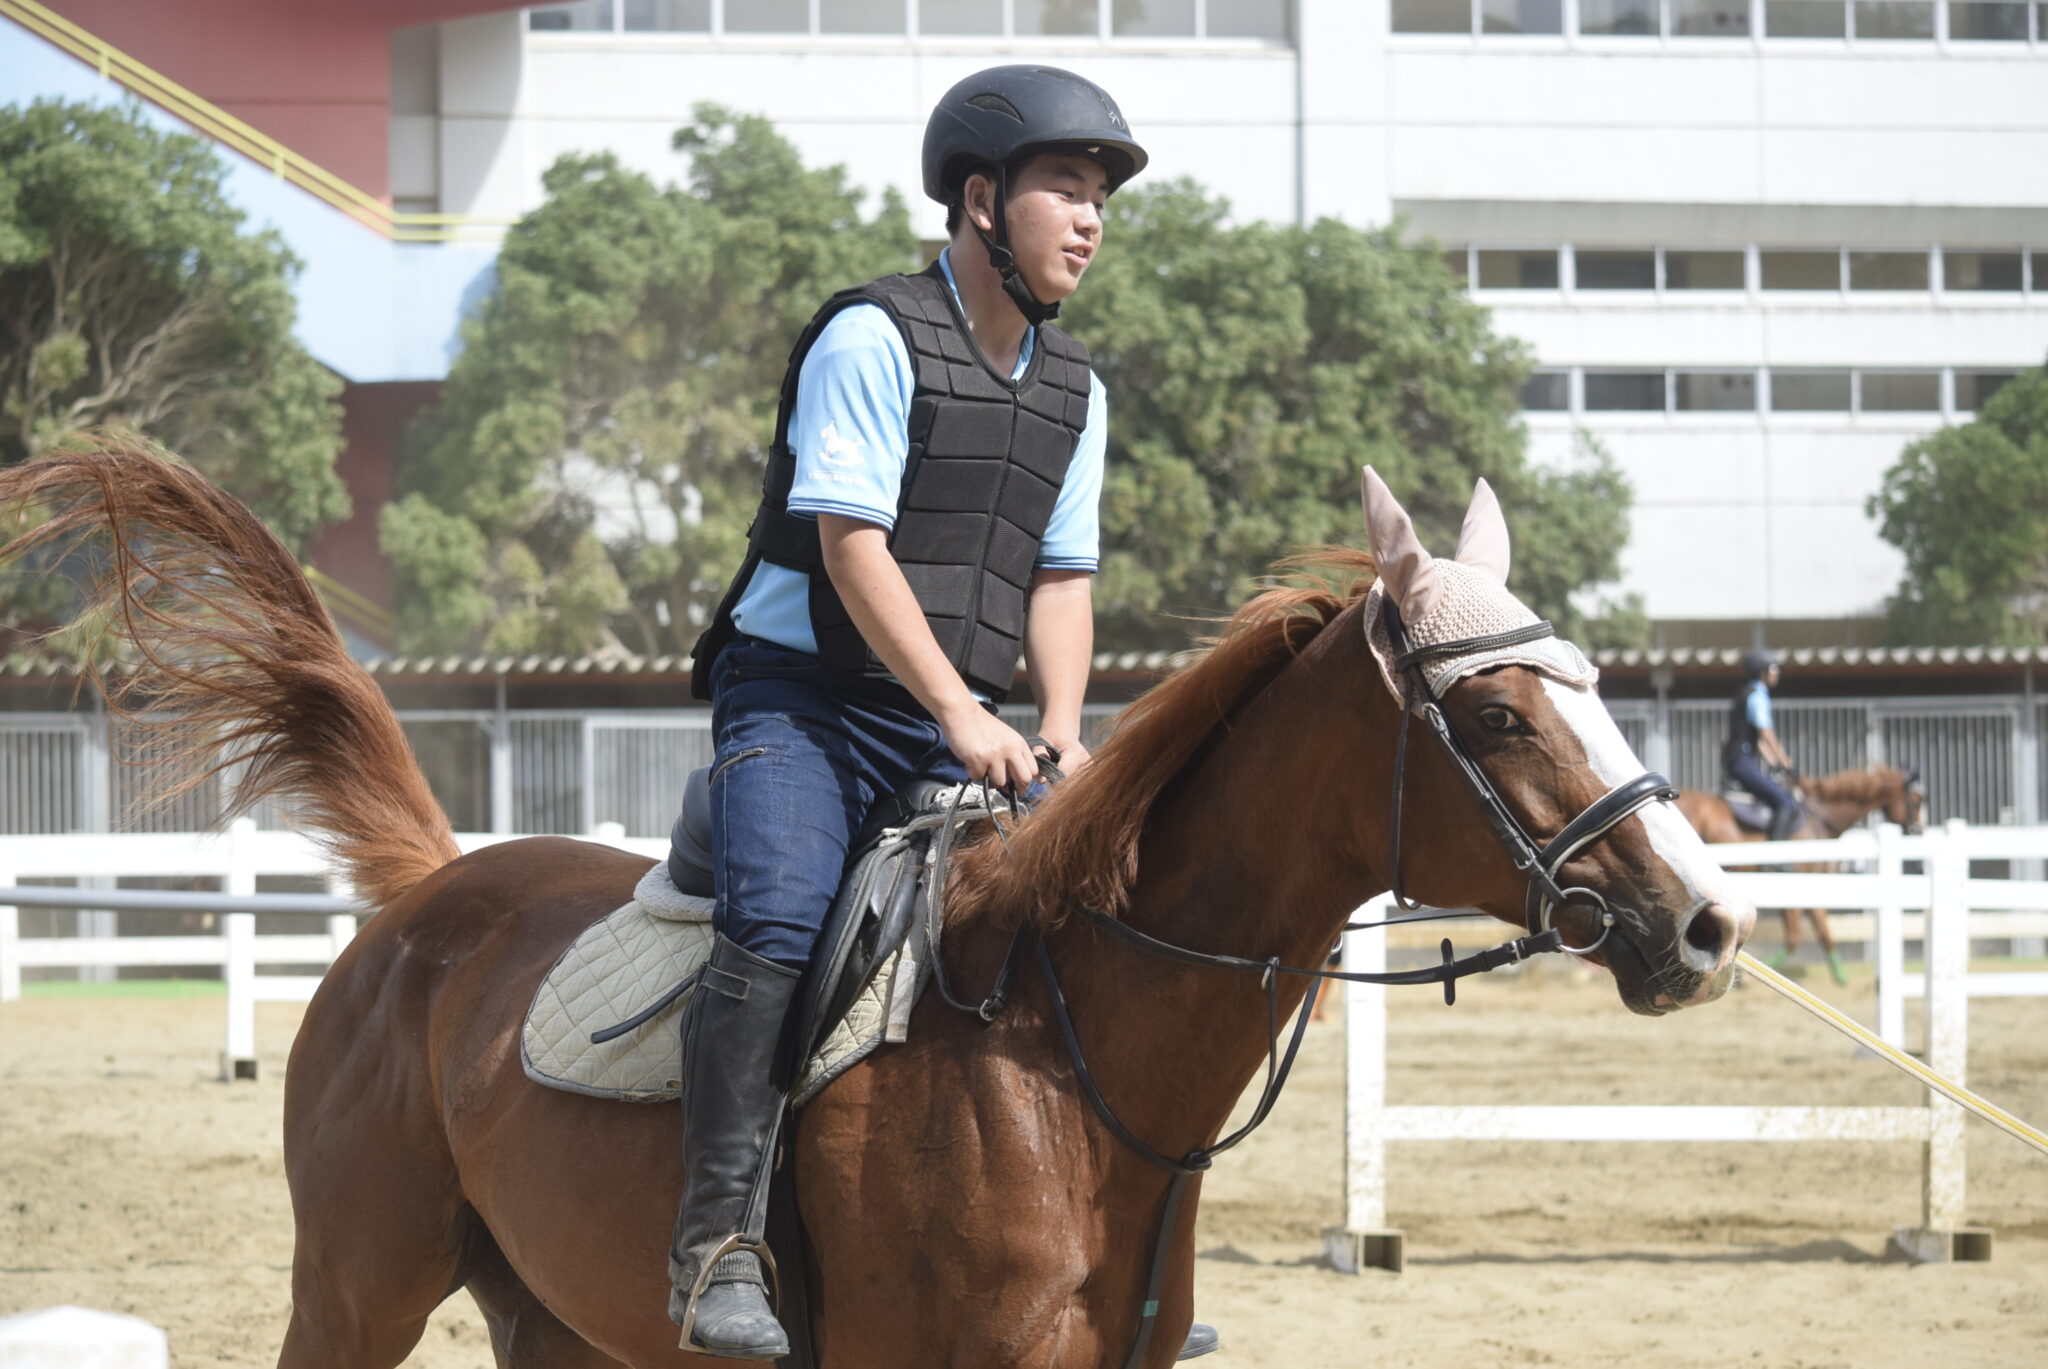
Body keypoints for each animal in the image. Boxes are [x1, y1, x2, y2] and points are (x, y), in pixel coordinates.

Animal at [0, 439, 1755, 1369]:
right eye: (1501, 715)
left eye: (1597, 685)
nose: (1705, 922)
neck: (1062, 1050)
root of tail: (437, 896)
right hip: (357, 1285)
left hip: (556, 1319)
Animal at [1676, 766, 1924, 980]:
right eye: (1916, 800)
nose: (1918, 830)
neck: (1819, 817)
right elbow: (1794, 937)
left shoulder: (1810, 886)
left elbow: (1823, 932)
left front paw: (1840, 976)